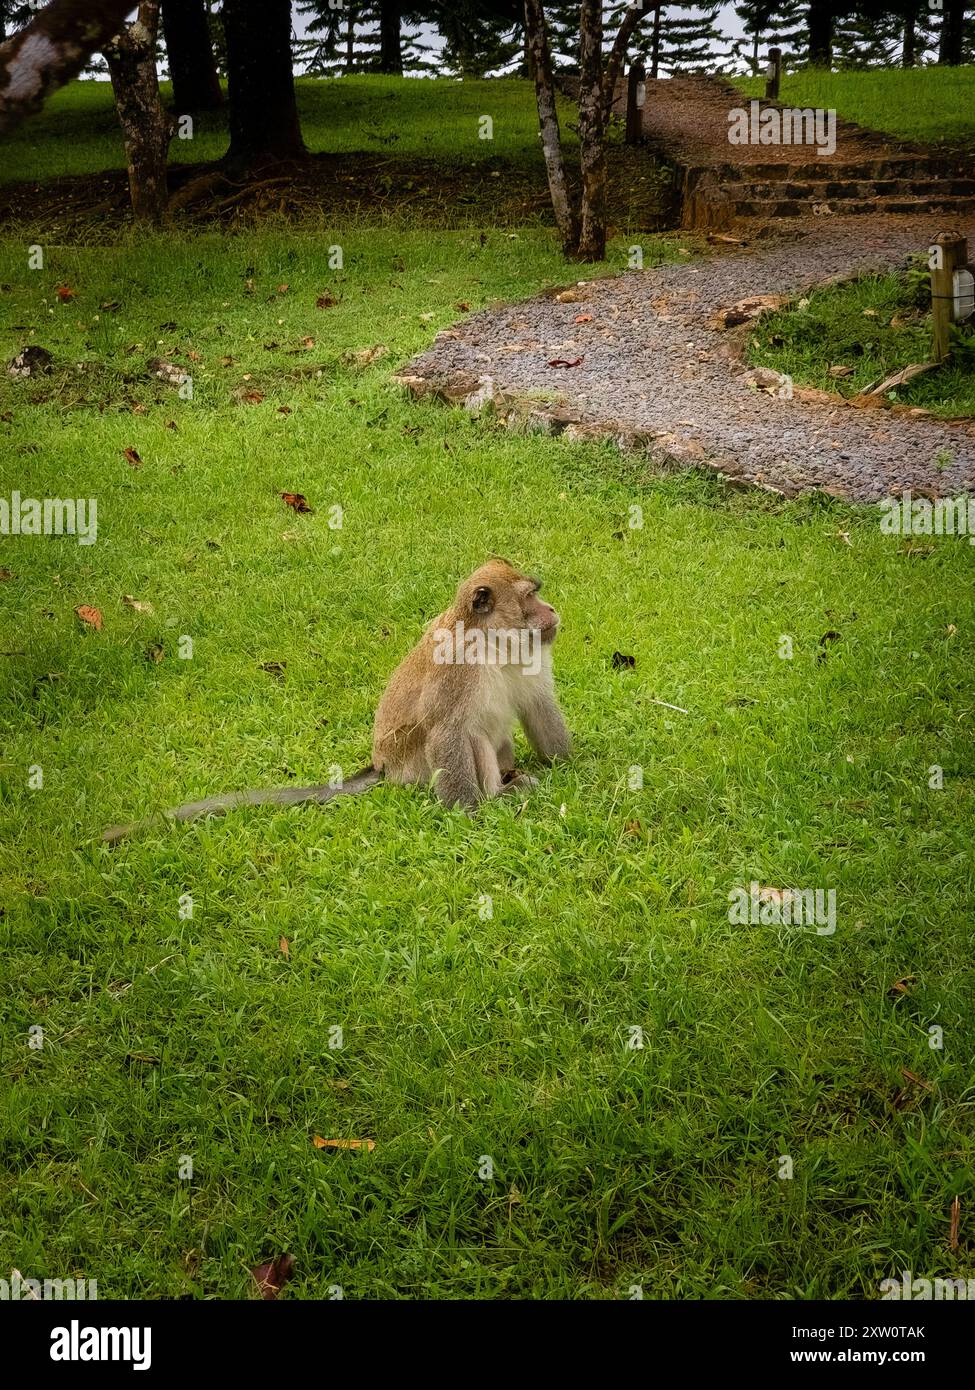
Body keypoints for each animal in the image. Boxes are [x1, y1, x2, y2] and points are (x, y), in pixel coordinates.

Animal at [100, 559, 571, 844]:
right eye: (529, 596)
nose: (550, 608)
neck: (492, 646)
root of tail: (382, 765)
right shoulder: (455, 669)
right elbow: (447, 732)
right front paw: (470, 814)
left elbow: (538, 706)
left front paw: (570, 767)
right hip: (413, 765)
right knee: (470, 737)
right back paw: (500, 793)